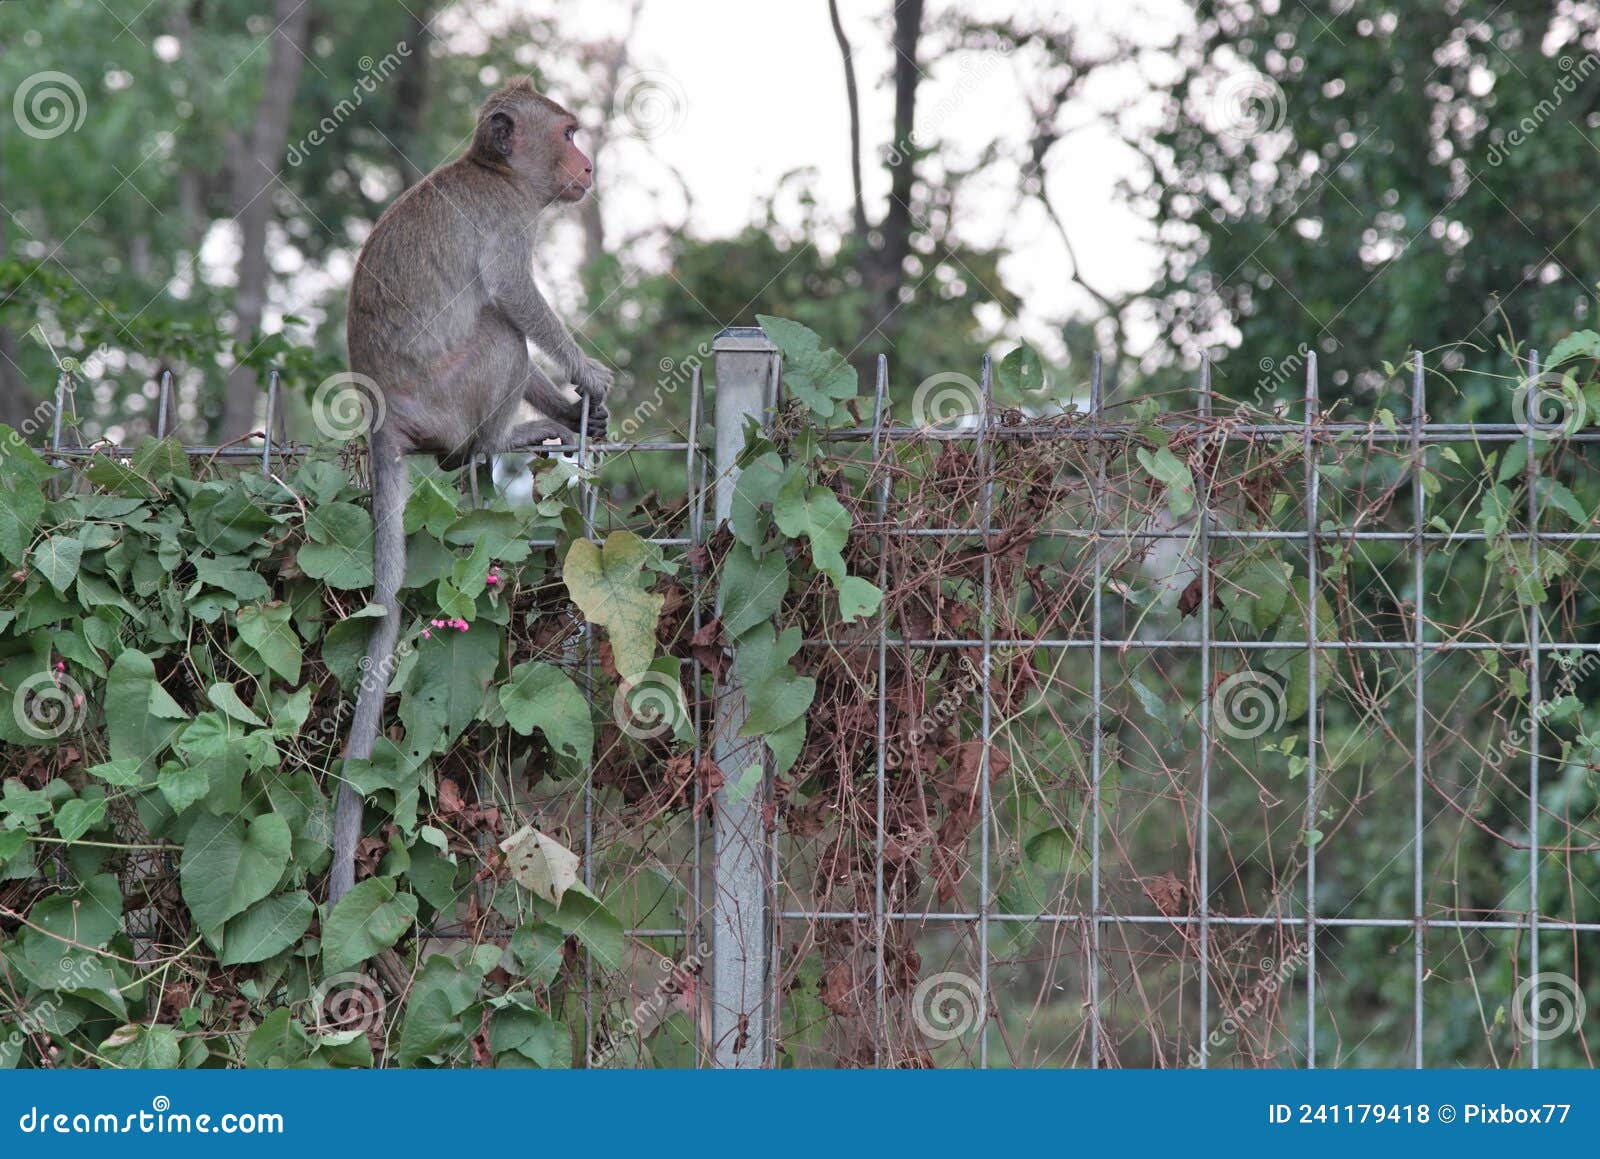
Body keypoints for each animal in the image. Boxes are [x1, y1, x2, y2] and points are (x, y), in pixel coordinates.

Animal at [333, 80, 613, 904]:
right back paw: (504, 440)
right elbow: (517, 297)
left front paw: (579, 406)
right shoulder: (505, 226)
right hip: (455, 394)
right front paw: (585, 372)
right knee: (502, 336)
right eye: (568, 133)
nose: (589, 163)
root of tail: (385, 419)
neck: (494, 174)